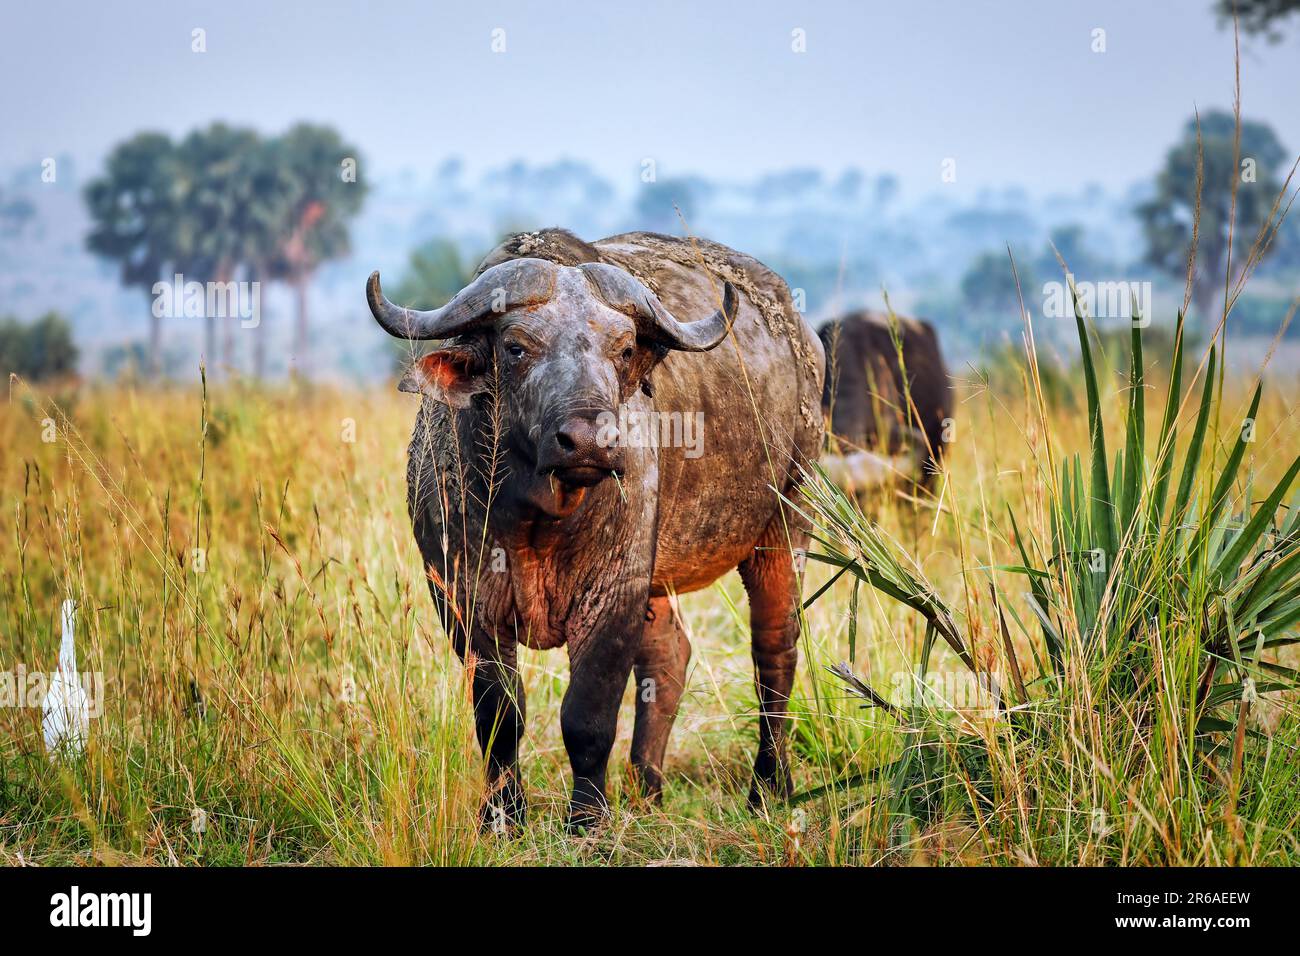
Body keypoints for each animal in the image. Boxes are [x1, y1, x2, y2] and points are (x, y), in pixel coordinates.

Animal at [368, 229, 824, 831]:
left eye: (624, 349)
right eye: (516, 347)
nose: (588, 439)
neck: (537, 517)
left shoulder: (615, 591)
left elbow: (587, 714)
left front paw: (587, 819)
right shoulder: (458, 595)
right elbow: (499, 713)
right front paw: (503, 816)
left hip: (787, 520)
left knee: (774, 652)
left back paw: (768, 789)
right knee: (669, 657)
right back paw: (648, 790)